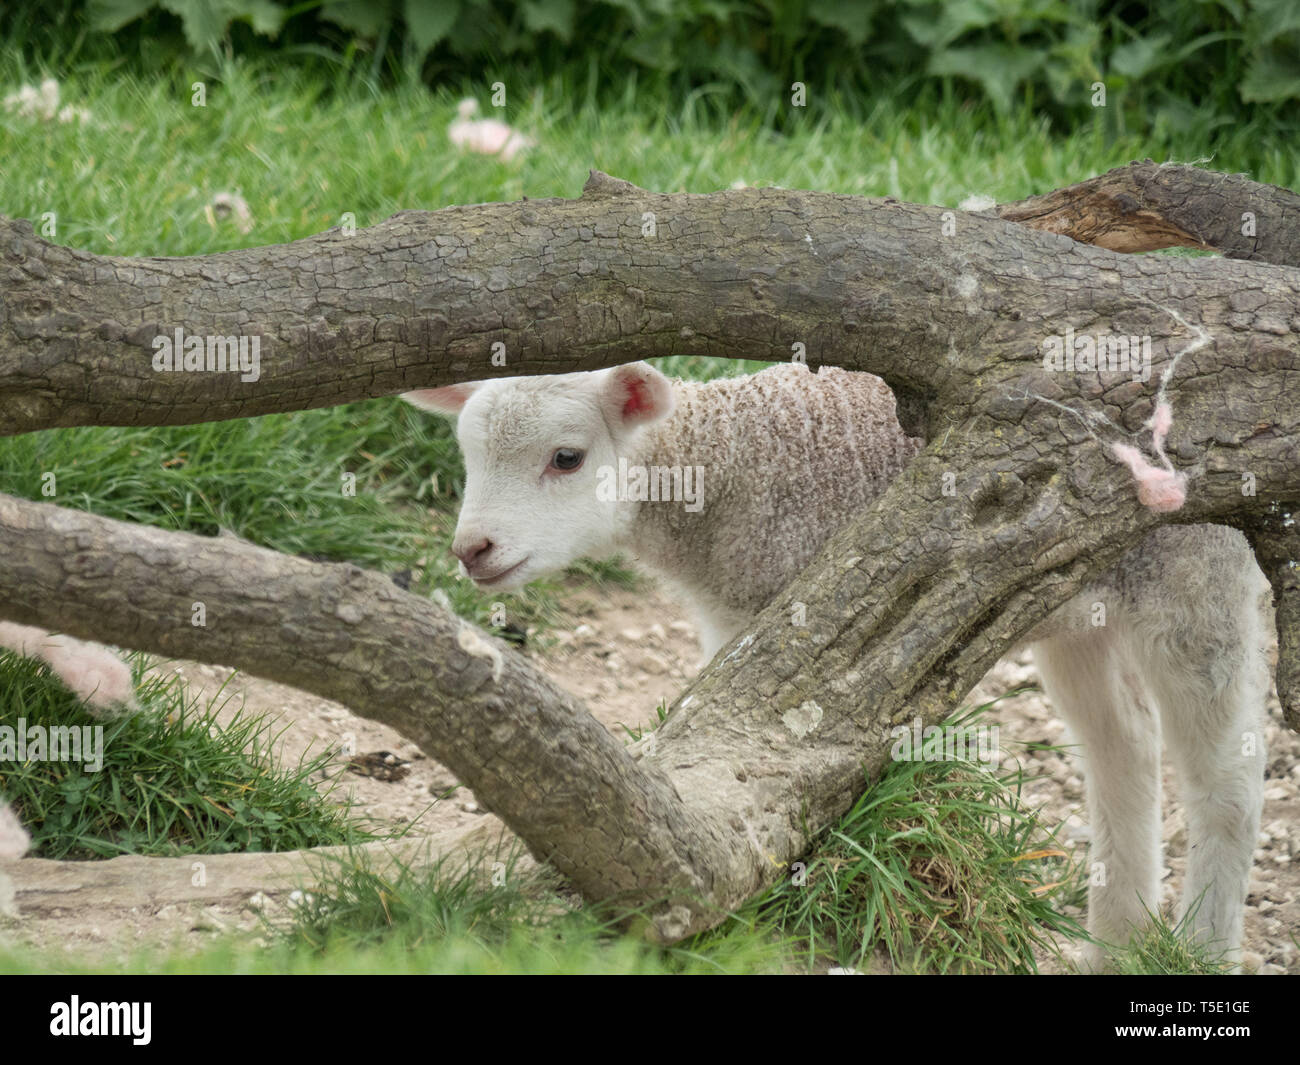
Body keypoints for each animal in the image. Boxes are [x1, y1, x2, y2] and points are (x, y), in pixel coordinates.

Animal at [404, 359, 1272, 970]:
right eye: (468, 455)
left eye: (566, 457)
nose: (473, 549)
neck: (721, 467)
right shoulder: (737, 627)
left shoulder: (807, 611)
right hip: (1069, 602)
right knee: (1124, 746)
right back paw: (1116, 943)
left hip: (1197, 573)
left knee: (1224, 780)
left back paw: (1202, 947)